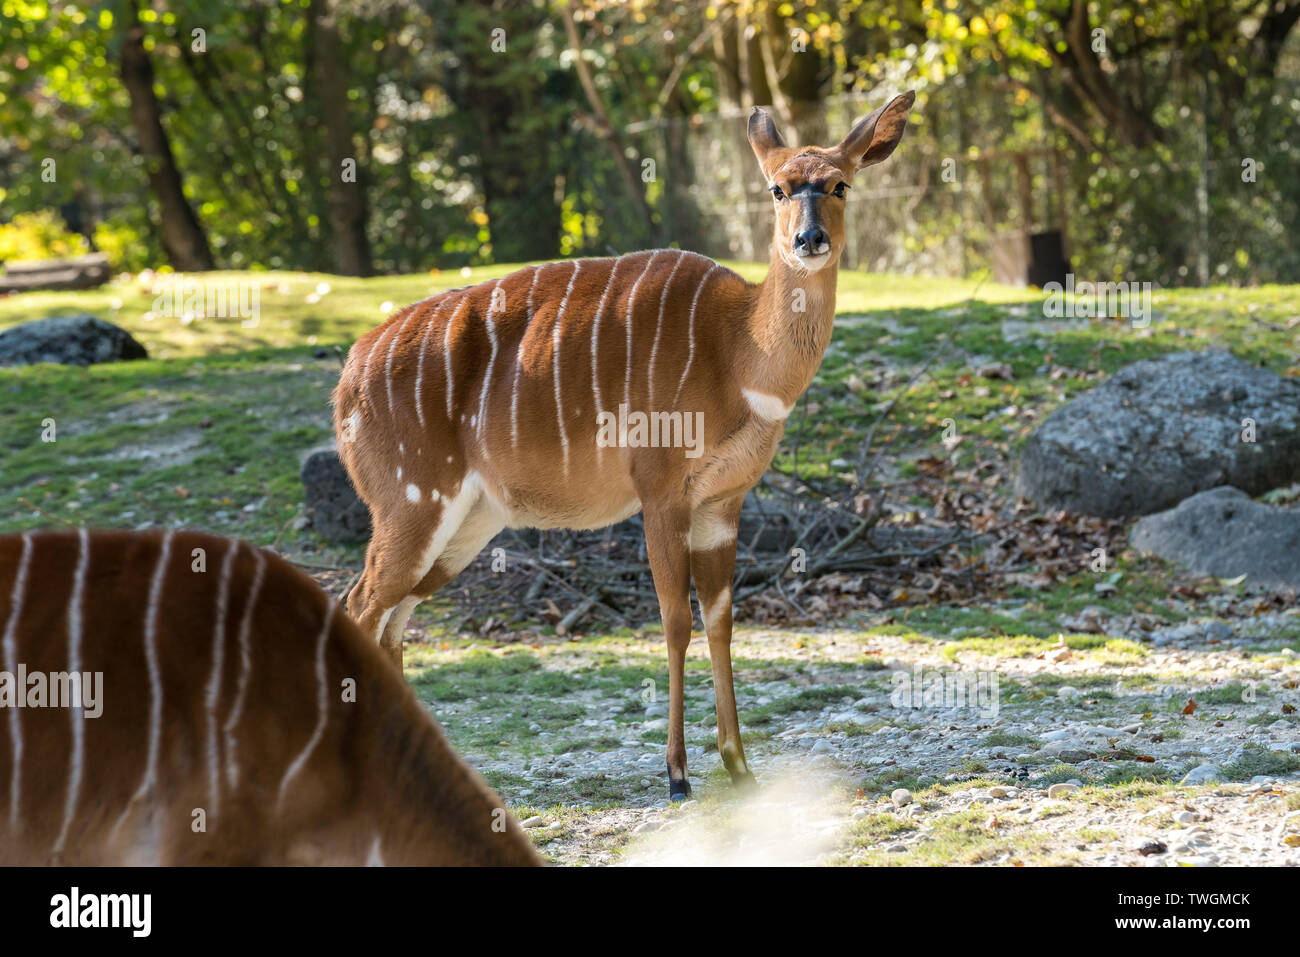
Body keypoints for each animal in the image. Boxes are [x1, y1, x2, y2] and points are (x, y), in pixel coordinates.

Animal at [334, 91, 915, 800]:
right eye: (777, 188)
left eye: (840, 185)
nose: (810, 240)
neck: (738, 356)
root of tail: (348, 378)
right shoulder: (660, 489)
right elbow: (674, 620)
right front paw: (676, 775)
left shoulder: (723, 502)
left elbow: (722, 618)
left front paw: (739, 766)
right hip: (412, 500)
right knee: (361, 604)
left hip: (466, 522)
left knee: (392, 617)